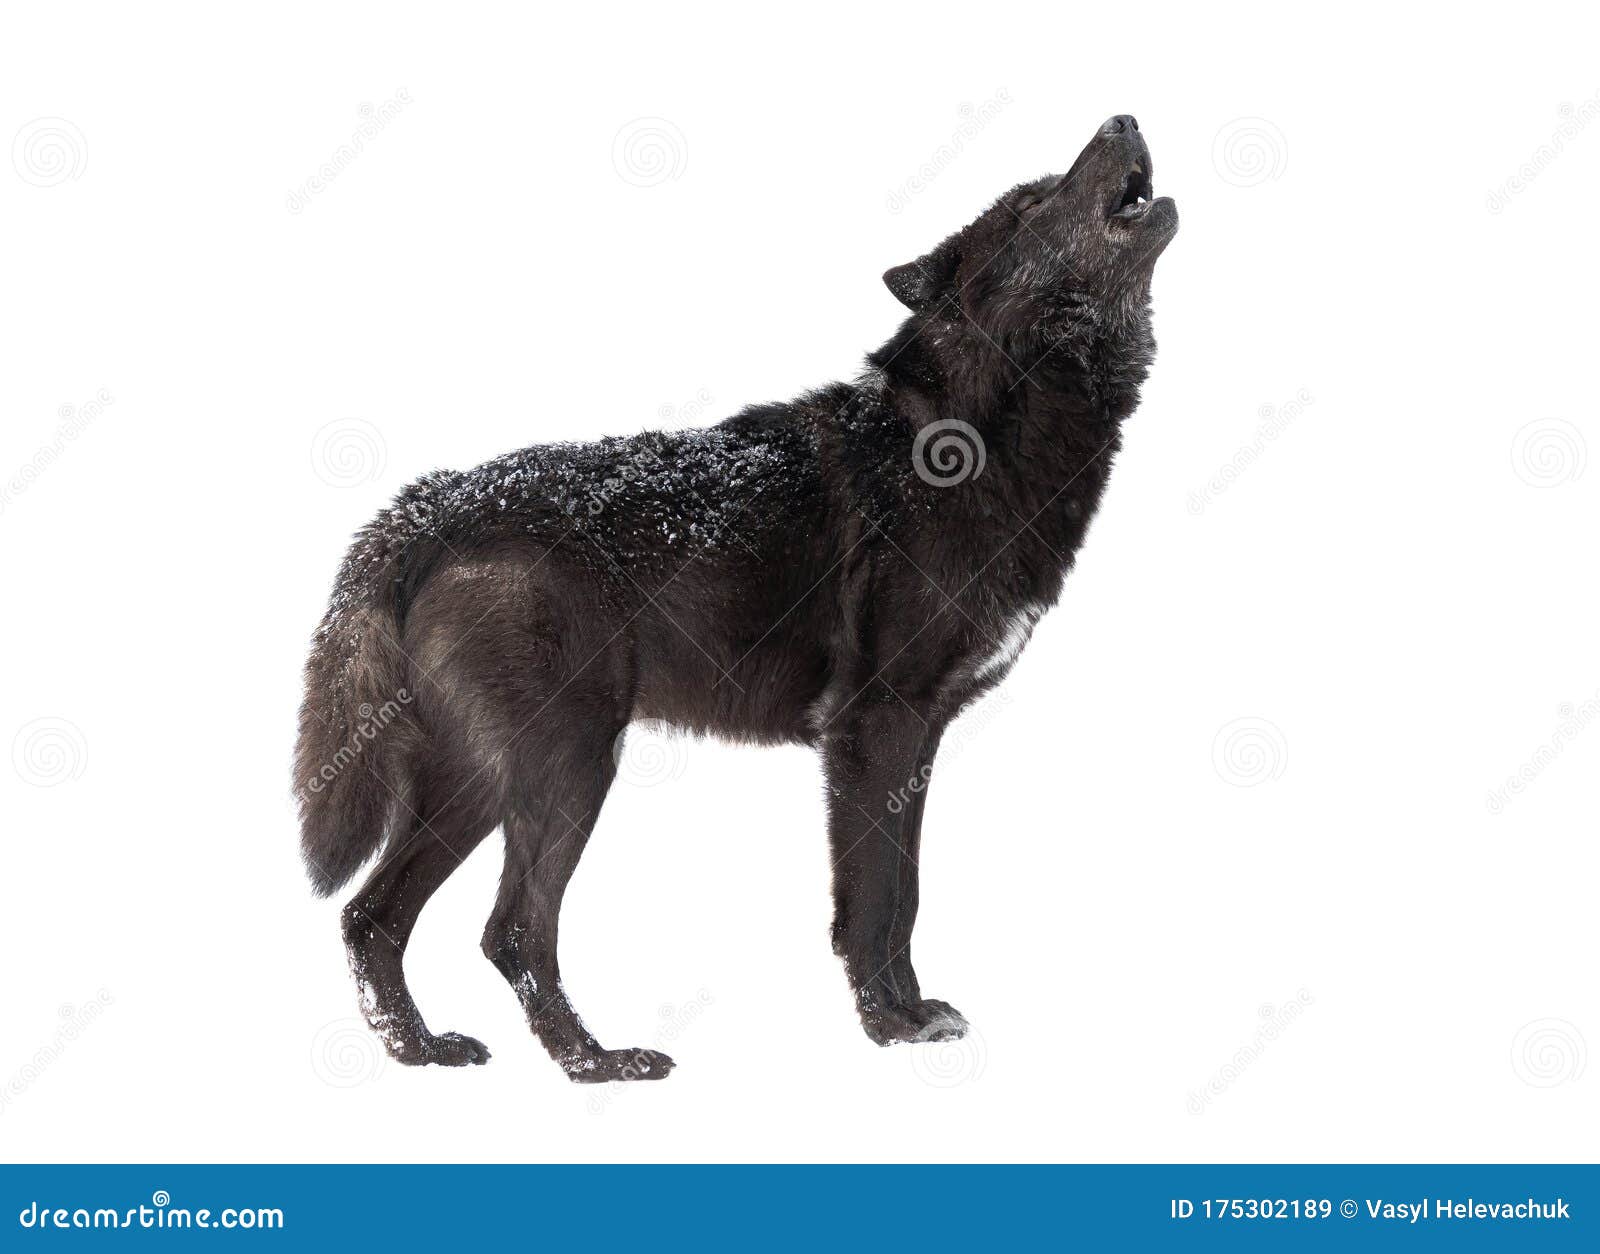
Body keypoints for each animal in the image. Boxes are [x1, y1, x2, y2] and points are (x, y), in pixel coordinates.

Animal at [295, 114, 1177, 1081]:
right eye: (1031, 203)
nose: (1123, 119)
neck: (979, 433)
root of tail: (433, 504)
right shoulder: (875, 728)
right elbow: (876, 899)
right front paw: (891, 1028)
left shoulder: (920, 735)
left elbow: (905, 893)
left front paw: (911, 1012)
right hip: (569, 766)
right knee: (512, 931)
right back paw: (599, 1063)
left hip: (483, 784)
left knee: (373, 915)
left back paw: (423, 1051)